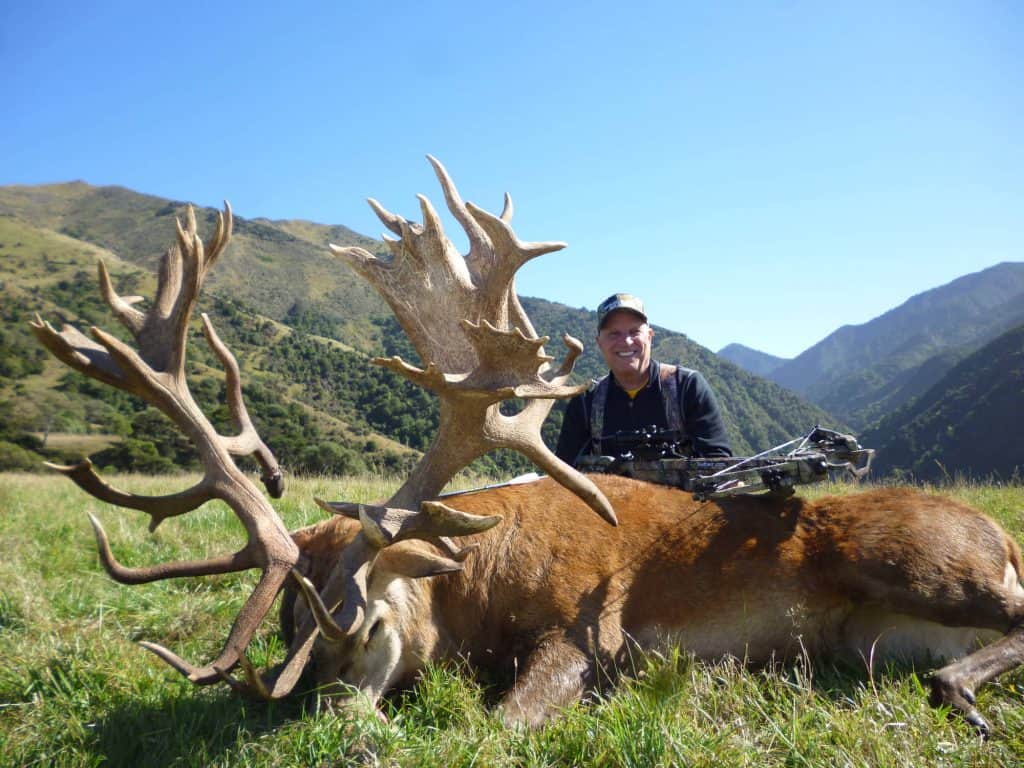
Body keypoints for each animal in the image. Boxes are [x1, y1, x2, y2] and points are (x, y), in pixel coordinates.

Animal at [32, 157, 1024, 736]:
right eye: (285, 631)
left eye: (360, 622)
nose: (326, 714)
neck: (478, 586)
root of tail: (1003, 534)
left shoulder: (594, 627)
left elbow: (498, 727)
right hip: (882, 635)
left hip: (917, 560)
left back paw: (963, 693)